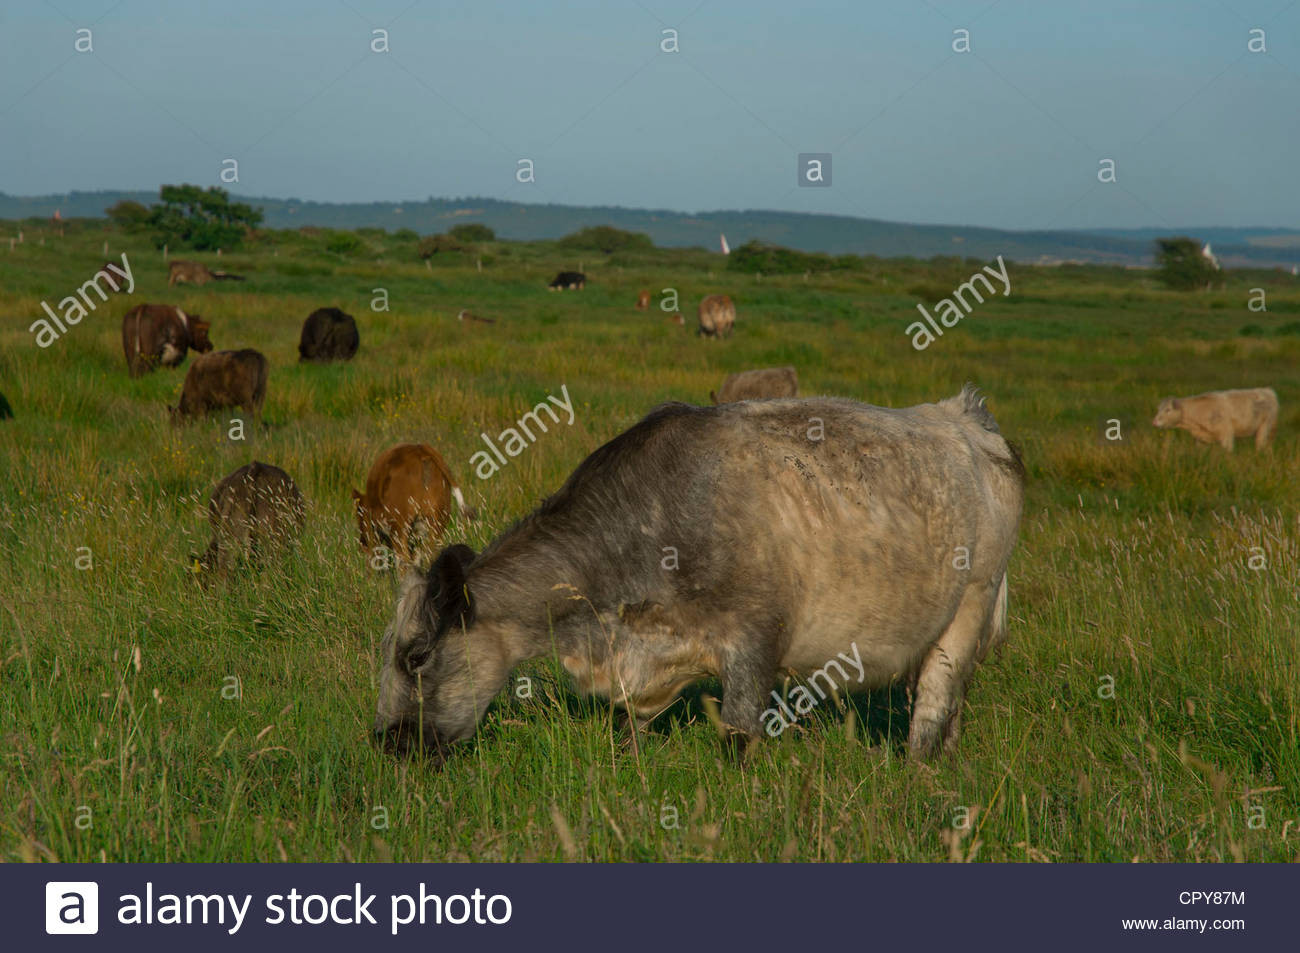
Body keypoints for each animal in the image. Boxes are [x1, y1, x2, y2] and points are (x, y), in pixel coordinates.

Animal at [373, 385, 1024, 765]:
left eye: (416, 656)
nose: (386, 741)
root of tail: (965, 416)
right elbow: (628, 732)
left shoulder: (755, 643)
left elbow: (737, 740)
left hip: (970, 603)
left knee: (933, 704)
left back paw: (918, 771)